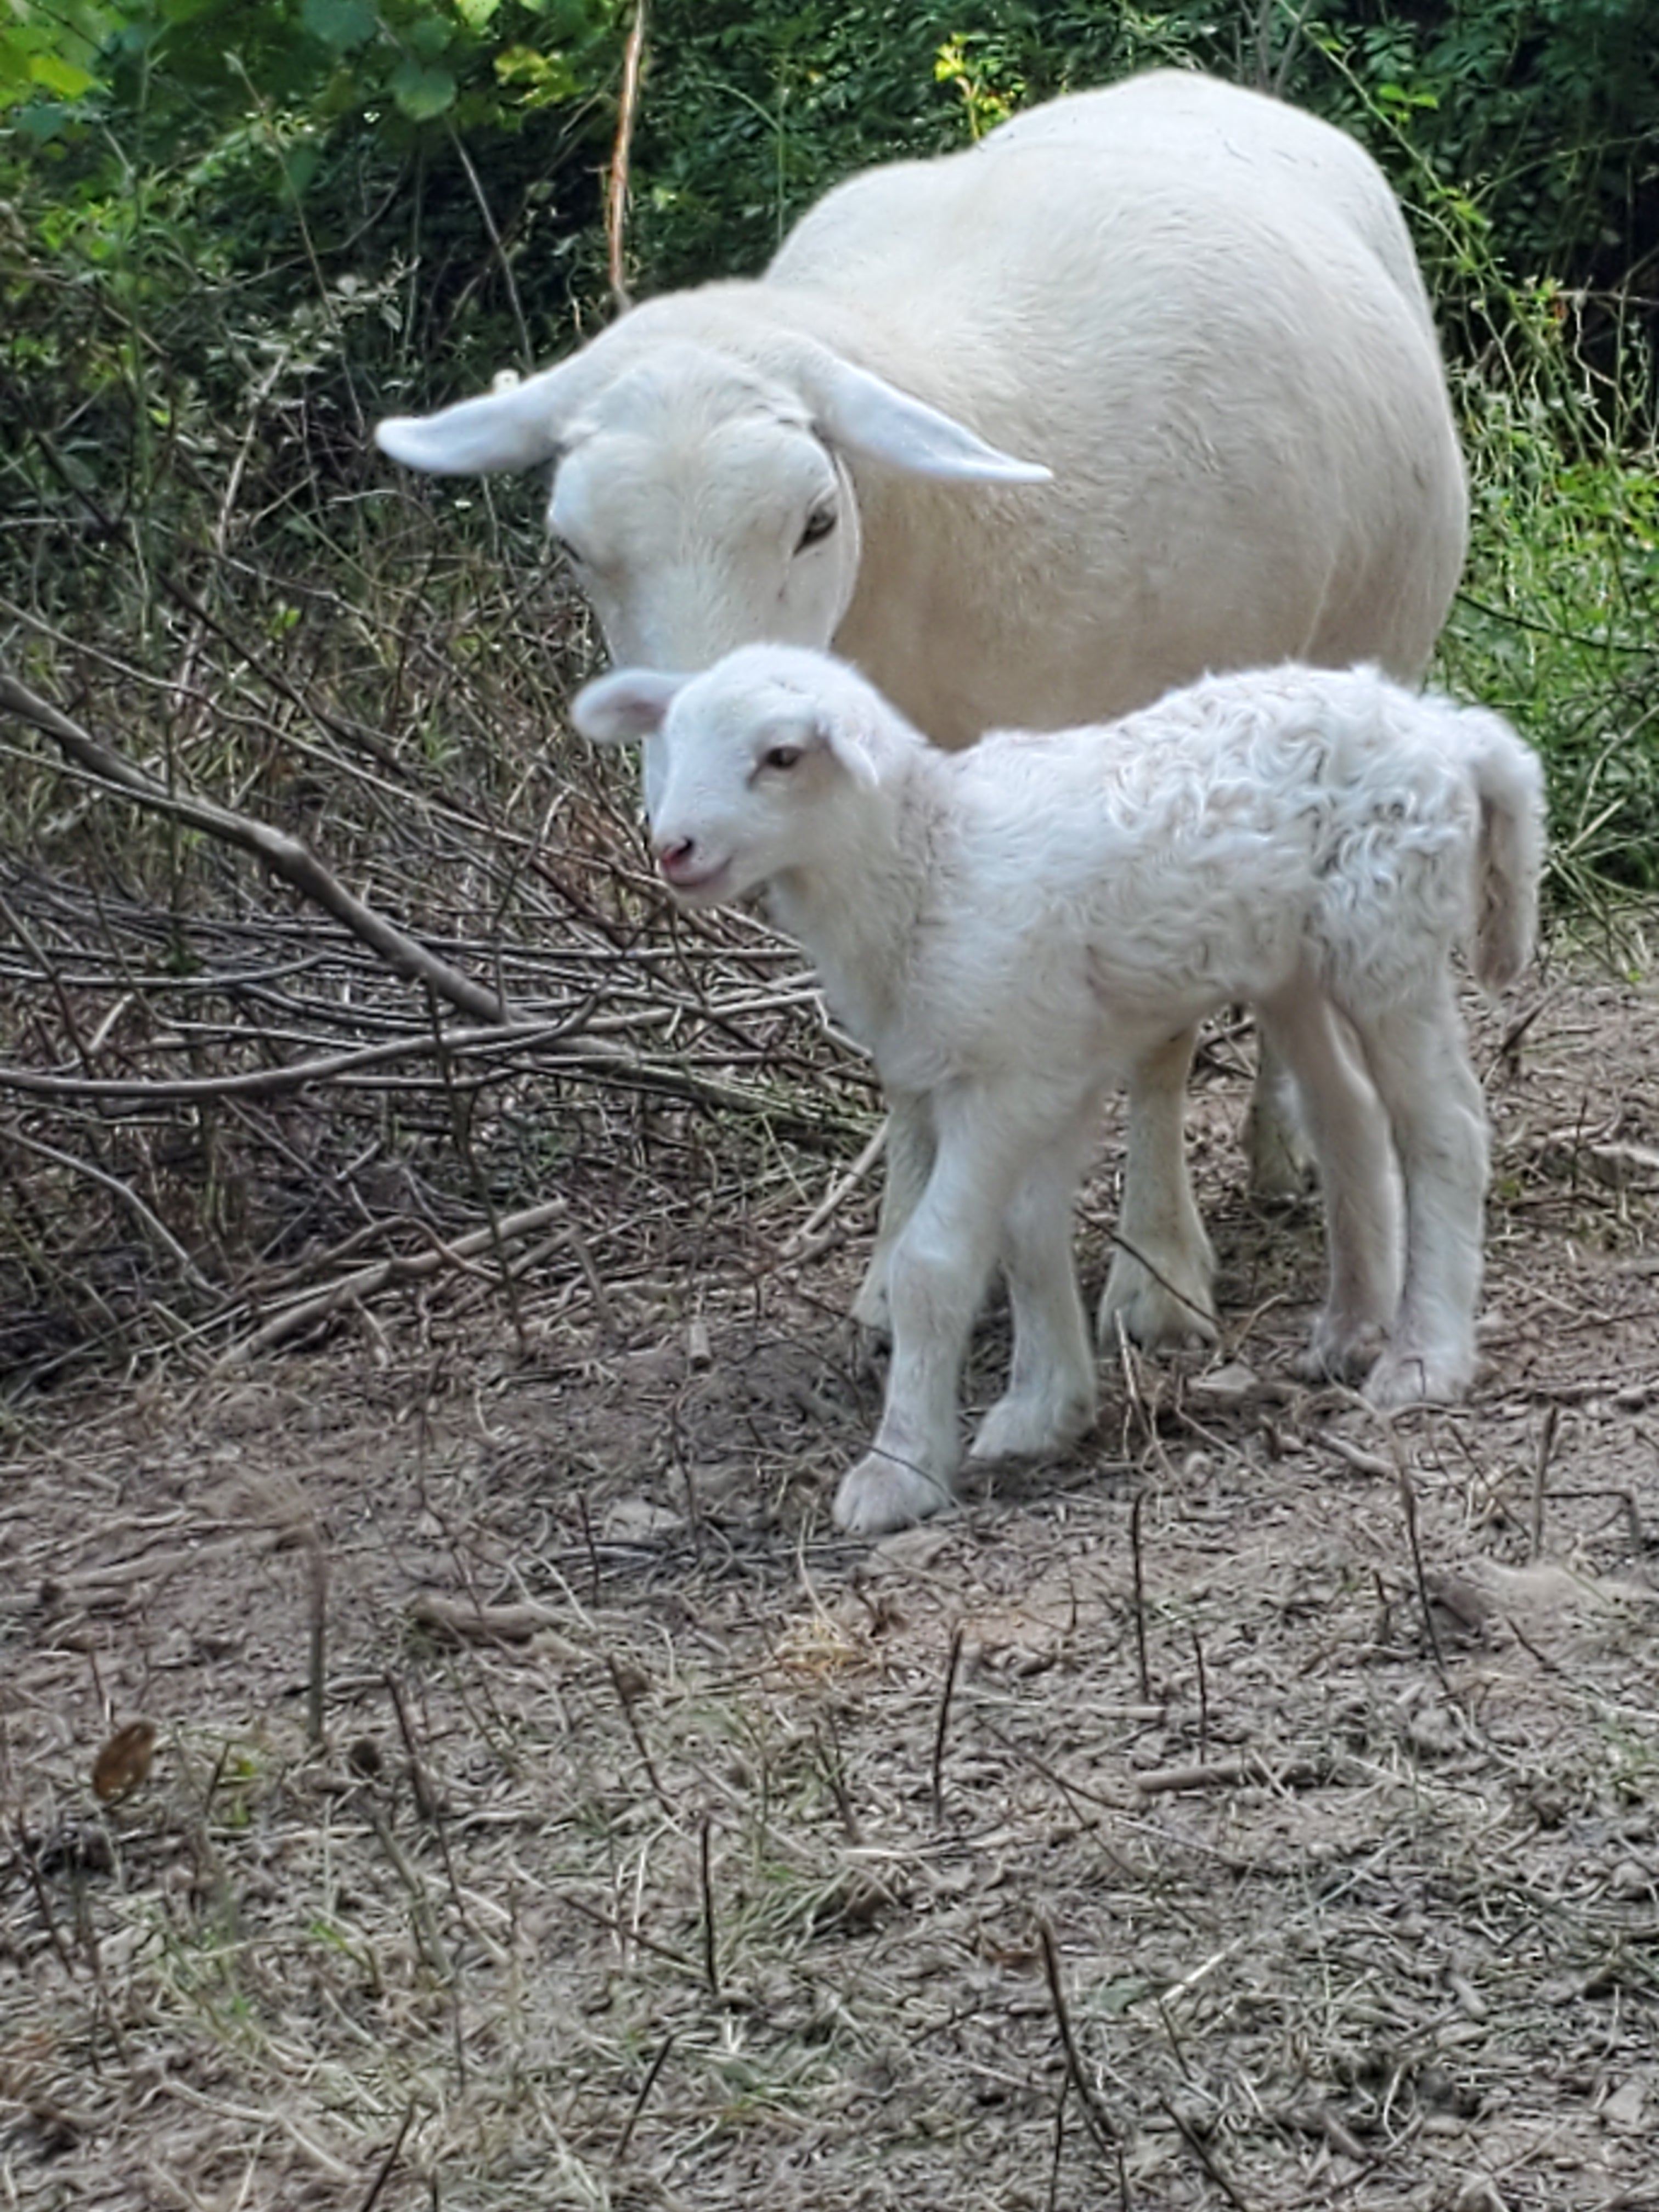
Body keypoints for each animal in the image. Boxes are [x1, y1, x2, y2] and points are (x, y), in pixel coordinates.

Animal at [374, 68, 1468, 1354]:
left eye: (814, 520)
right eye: (571, 547)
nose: (688, 791)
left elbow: (1158, 1039)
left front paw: (1156, 1279)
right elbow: (904, 1053)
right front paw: (901, 1272)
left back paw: (1287, 1154)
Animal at [573, 644, 1545, 1537]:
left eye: (780, 756)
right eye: (673, 740)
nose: (673, 849)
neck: (928, 866)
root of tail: (1450, 730)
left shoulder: (999, 1080)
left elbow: (932, 1265)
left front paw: (898, 1471)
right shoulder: (1045, 1067)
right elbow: (1025, 1233)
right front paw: (1046, 1407)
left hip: (1390, 931)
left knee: (1445, 1128)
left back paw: (1424, 1356)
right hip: (1294, 963)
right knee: (1348, 1114)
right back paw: (1349, 1325)